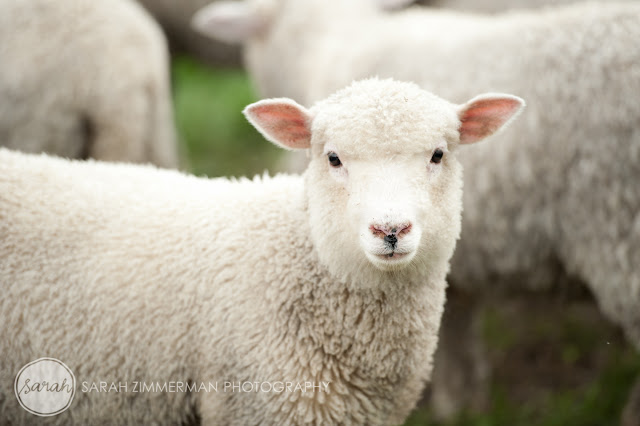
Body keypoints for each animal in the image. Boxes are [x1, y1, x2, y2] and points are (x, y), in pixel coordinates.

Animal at [193, 0, 640, 419]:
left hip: (620, 233)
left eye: (438, 154)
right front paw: (465, 405)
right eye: (333, 158)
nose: (390, 231)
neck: (329, 41)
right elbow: (458, 333)